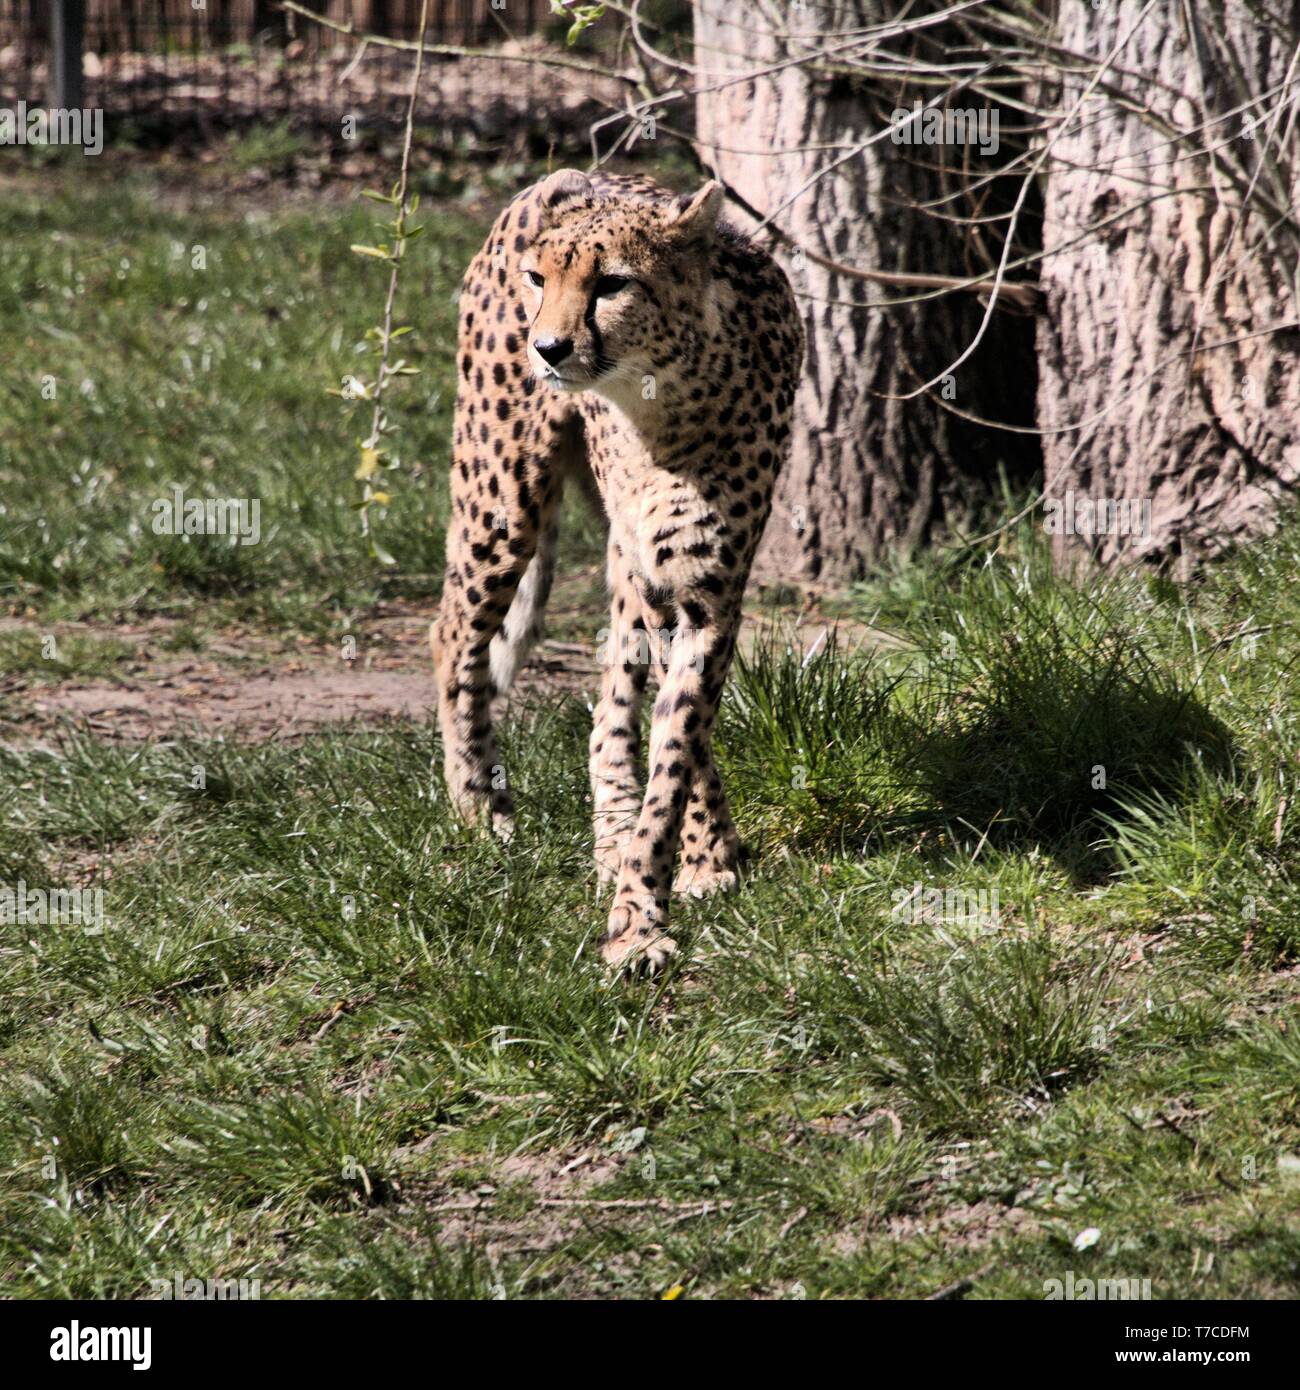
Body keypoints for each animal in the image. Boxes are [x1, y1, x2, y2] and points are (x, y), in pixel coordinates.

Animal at [430, 168, 804, 969]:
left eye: (612, 284)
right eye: (540, 279)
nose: (547, 347)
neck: (662, 404)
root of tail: (561, 175)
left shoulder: (702, 591)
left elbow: (678, 742)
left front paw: (655, 887)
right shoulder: (665, 581)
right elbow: (677, 735)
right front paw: (643, 913)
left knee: (613, 701)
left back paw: (641, 836)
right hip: (500, 497)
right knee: (453, 632)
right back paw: (479, 805)